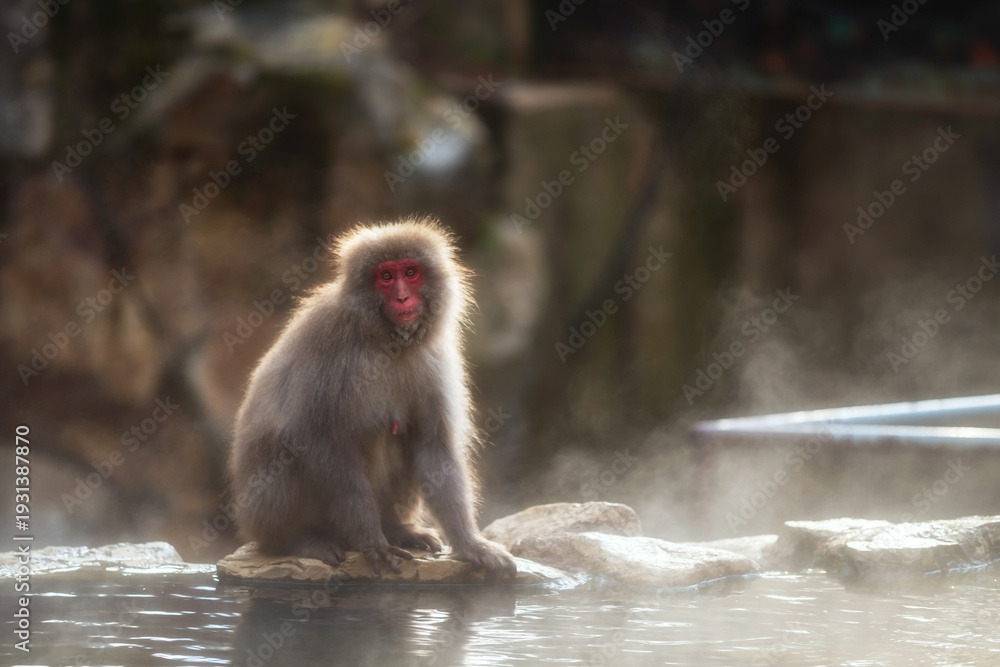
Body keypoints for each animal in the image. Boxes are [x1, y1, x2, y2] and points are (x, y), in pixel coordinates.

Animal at [228, 216, 516, 580]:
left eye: (411, 272)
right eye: (386, 277)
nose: (403, 298)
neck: (385, 340)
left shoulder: (434, 359)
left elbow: (432, 446)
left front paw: (470, 544)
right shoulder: (328, 345)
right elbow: (320, 442)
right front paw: (371, 541)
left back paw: (396, 529)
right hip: (260, 515)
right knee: (286, 449)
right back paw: (299, 541)